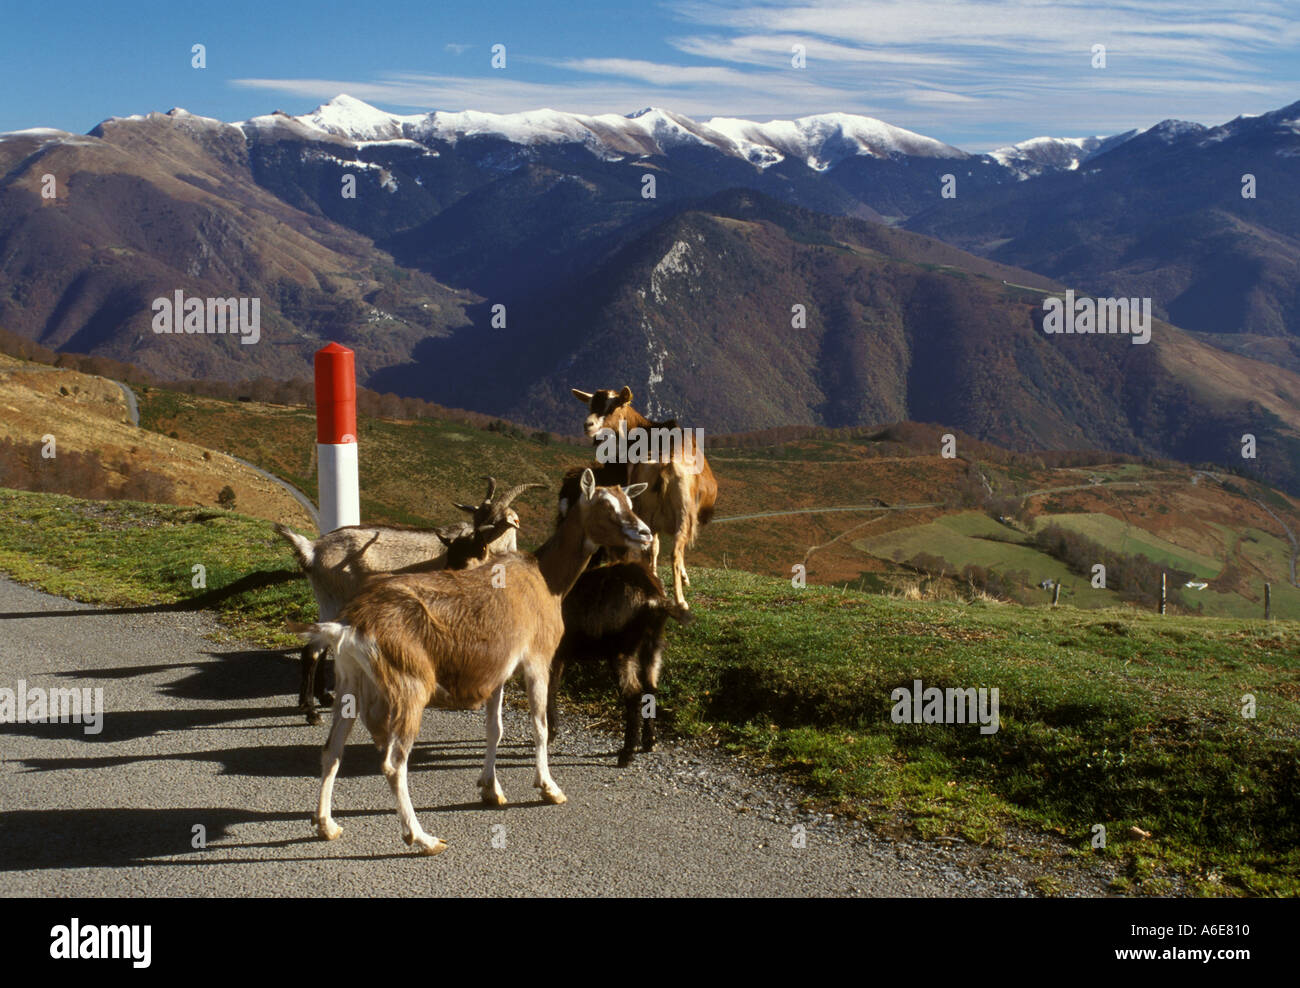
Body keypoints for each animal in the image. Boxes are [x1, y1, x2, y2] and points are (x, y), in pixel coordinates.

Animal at [276, 478, 540, 723]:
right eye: (481, 518)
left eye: (498, 520)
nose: (478, 540)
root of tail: (311, 549)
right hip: (334, 601)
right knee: (311, 651)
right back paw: (309, 710)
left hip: (328, 602)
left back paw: (323, 698)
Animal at [548, 560, 691, 766]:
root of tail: (652, 596)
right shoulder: (558, 655)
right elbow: (551, 688)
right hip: (653, 645)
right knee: (650, 687)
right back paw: (650, 741)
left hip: (621, 651)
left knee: (633, 693)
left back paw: (627, 753)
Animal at [571, 386, 718, 607]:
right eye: (591, 405)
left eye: (613, 406)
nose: (588, 425)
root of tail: (666, 463)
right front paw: (685, 578)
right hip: (683, 510)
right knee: (675, 551)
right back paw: (680, 600)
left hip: (648, 510)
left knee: (652, 547)